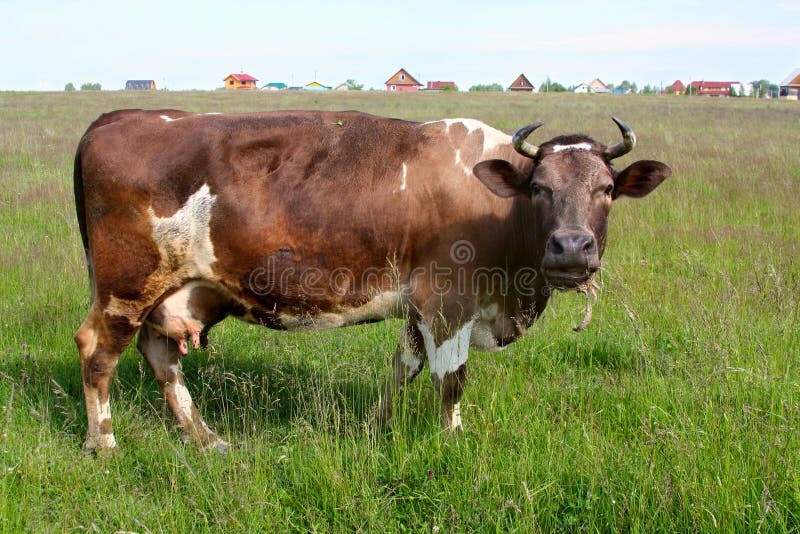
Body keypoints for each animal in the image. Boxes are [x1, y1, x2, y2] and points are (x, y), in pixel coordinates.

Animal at [73, 109, 670, 452]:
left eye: (606, 189)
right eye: (540, 188)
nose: (571, 247)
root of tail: (119, 116)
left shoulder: (419, 310)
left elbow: (403, 368)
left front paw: (373, 428)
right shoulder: (448, 302)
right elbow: (450, 381)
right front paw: (454, 443)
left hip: (170, 292)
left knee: (161, 358)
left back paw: (206, 439)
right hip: (125, 287)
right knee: (97, 352)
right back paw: (105, 445)